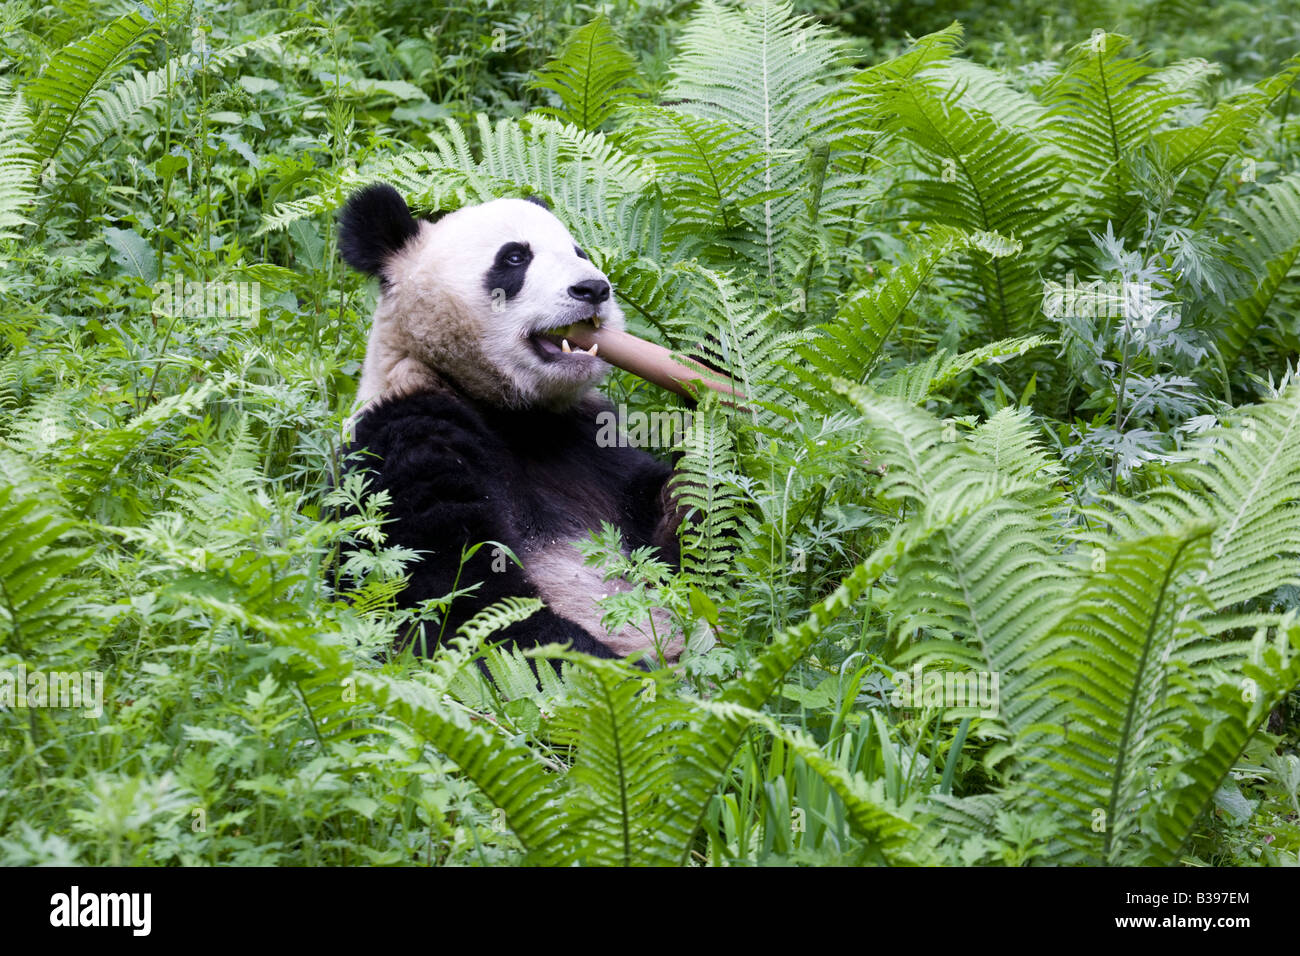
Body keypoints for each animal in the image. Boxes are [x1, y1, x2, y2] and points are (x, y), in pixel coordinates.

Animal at [338, 182, 683, 663]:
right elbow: (463, 595)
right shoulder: (405, 435)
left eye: (578, 251)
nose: (594, 288)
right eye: (515, 258)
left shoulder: (589, 439)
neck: (513, 410)